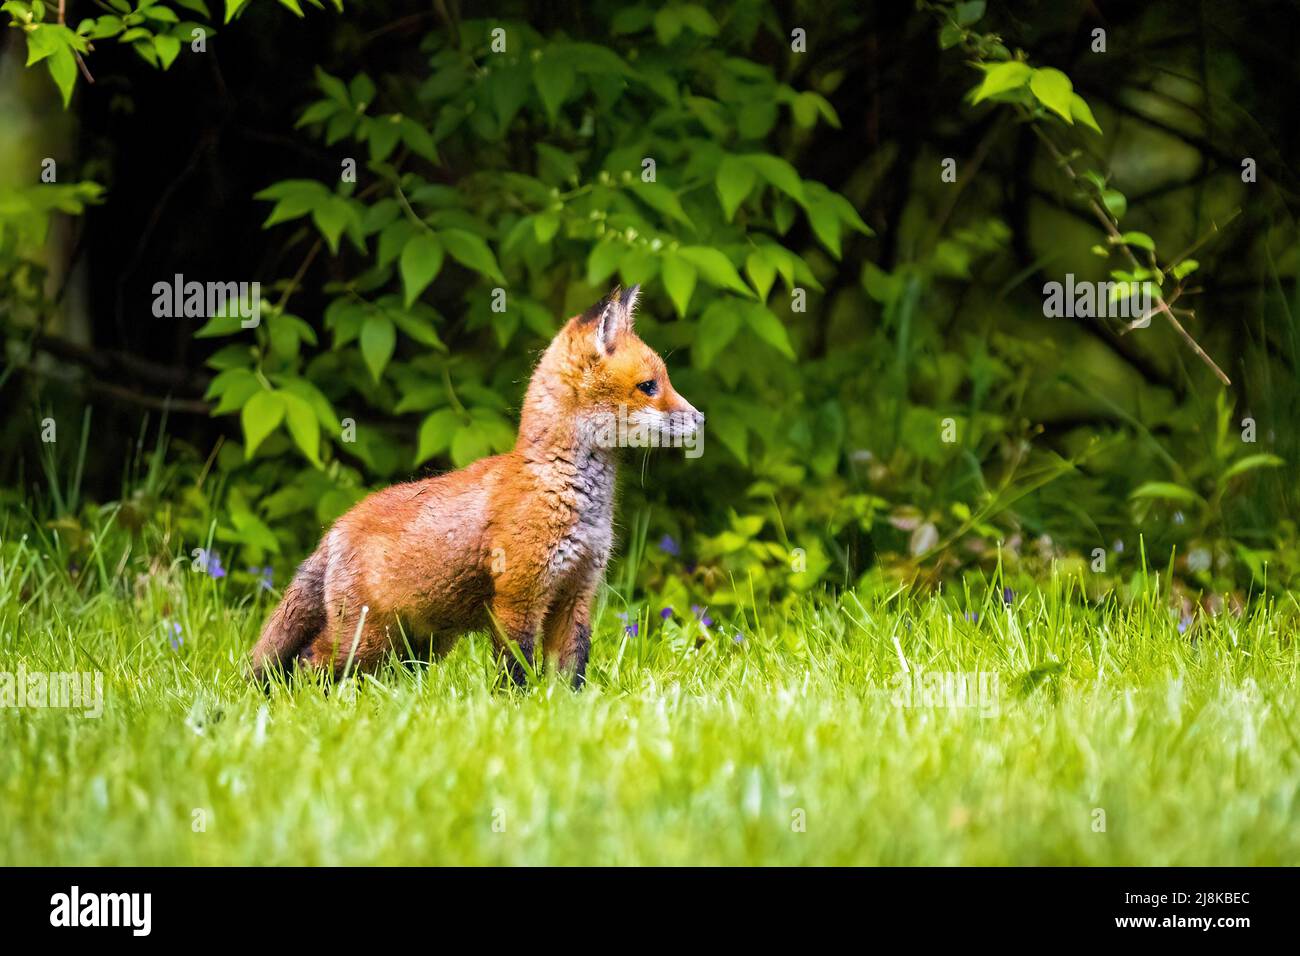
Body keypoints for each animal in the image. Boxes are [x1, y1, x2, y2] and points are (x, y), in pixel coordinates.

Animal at [249, 284, 702, 688]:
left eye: (665, 381)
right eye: (649, 386)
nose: (700, 418)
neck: (564, 488)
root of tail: (337, 528)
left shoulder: (576, 593)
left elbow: (570, 671)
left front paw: (569, 710)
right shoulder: (518, 596)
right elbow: (515, 669)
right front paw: (516, 709)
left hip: (417, 646)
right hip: (365, 640)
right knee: (309, 663)